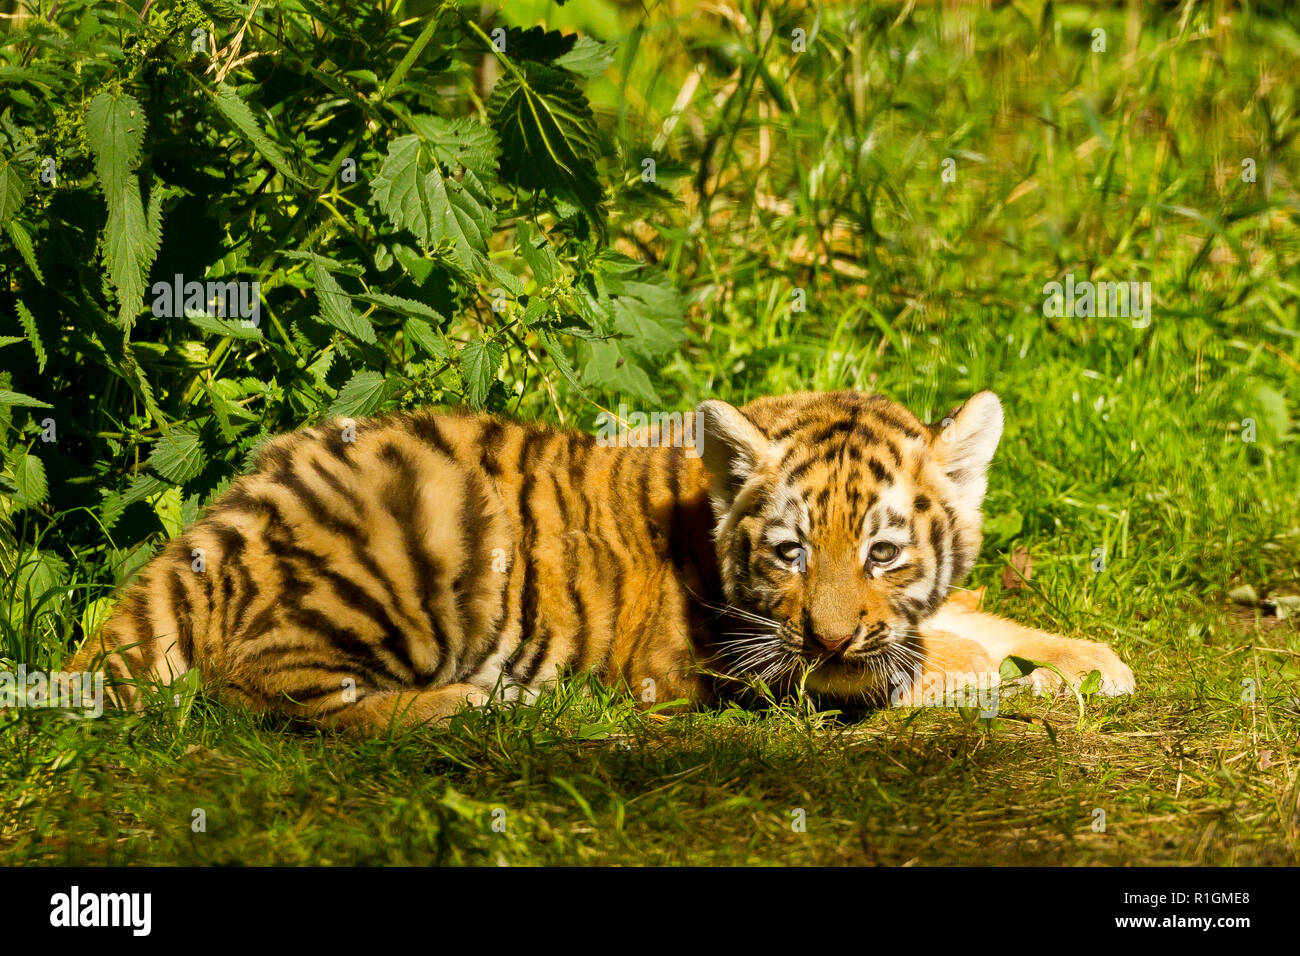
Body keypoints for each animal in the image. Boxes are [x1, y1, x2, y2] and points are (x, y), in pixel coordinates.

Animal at [67, 389, 1135, 733]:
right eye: (789, 554)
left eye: (883, 554)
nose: (830, 634)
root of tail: (221, 521)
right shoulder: (721, 667)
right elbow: (914, 667)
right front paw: (997, 675)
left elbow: (973, 615)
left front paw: (1093, 660)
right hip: (420, 548)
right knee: (264, 690)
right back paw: (476, 703)